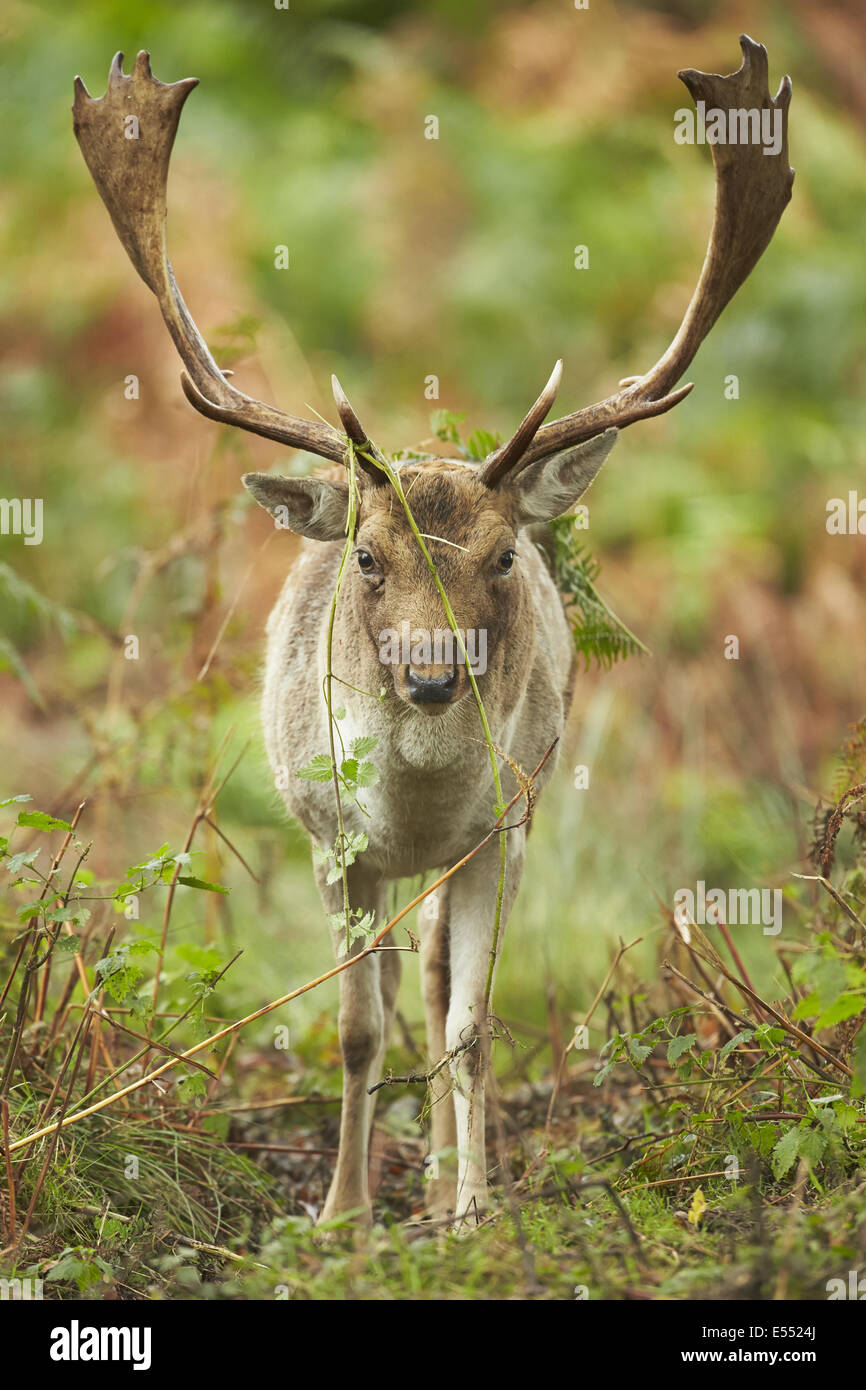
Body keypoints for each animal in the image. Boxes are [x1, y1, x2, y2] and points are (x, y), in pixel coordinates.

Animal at [73, 36, 793, 1226]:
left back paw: (451, 1180)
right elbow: (357, 1028)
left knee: (442, 978)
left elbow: (468, 1027)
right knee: (403, 979)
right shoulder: (330, 838)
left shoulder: (503, 830)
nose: (427, 679)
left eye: (501, 558)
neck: (405, 802)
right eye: (368, 557)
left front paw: (469, 1210)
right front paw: (342, 1213)